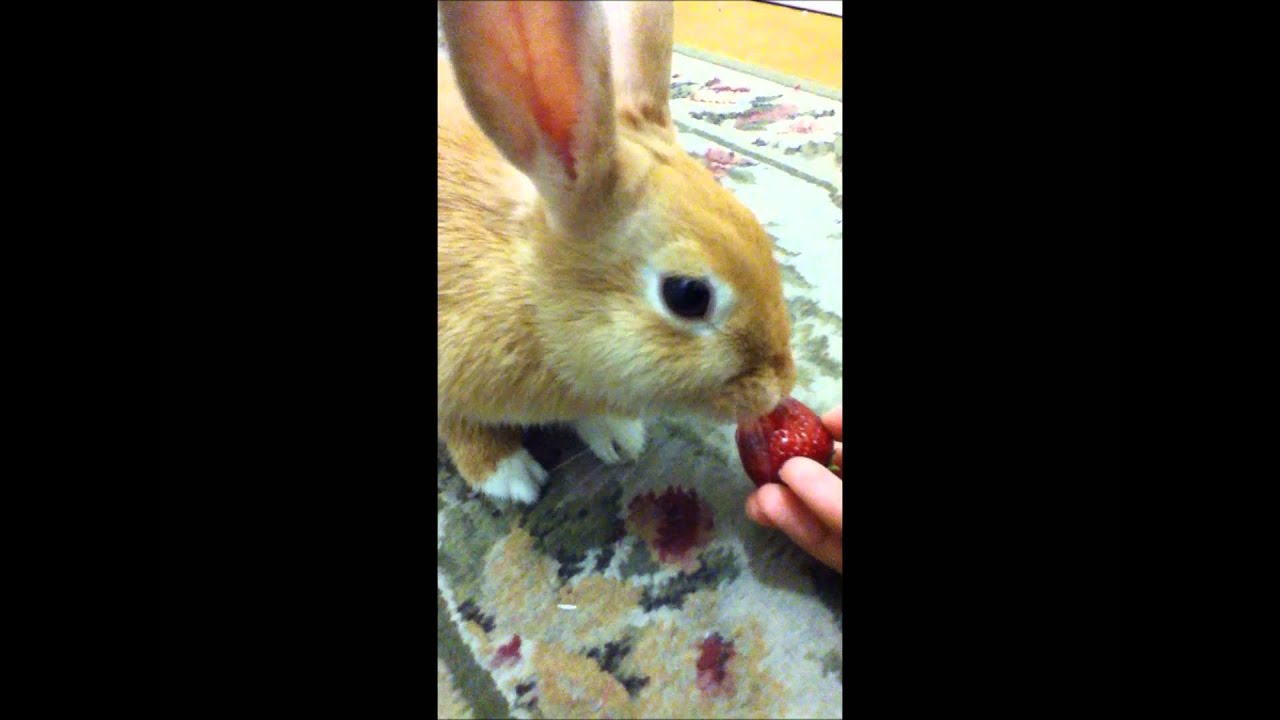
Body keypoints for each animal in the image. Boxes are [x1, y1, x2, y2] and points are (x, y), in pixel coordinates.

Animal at [438, 1, 796, 503]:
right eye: (688, 295)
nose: (781, 388)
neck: (529, 299)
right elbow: (460, 424)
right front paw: (509, 476)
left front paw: (618, 436)